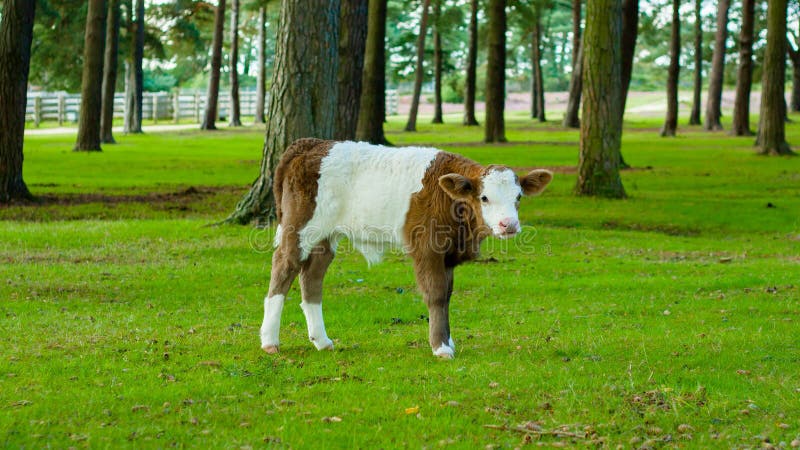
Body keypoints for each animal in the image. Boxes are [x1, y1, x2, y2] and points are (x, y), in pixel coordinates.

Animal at [260, 138, 553, 358]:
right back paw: (270, 341)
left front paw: (448, 340)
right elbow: (436, 294)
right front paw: (441, 347)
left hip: (325, 236)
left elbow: (447, 295)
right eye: (484, 197)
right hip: (299, 227)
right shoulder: (428, 248)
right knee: (283, 268)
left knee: (312, 276)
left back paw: (322, 341)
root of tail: (310, 144)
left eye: (518, 197)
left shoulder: (448, 255)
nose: (508, 224)